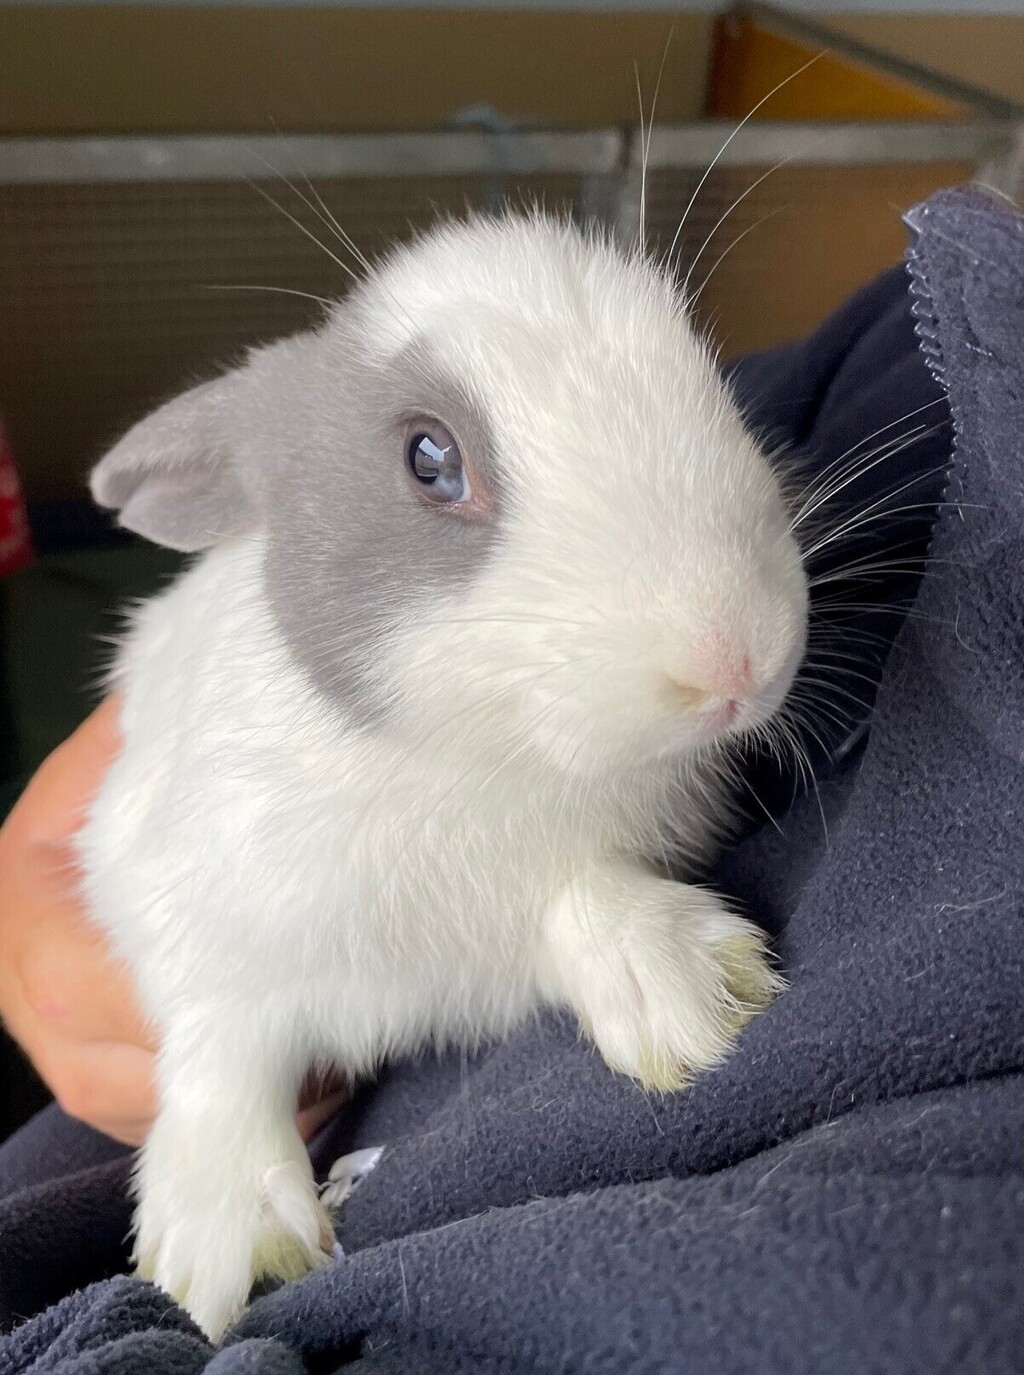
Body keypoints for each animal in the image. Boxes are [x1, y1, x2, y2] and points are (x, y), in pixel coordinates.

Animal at [77, 210, 808, 1341]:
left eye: (709, 371)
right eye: (429, 458)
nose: (741, 661)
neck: (470, 753)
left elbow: (580, 896)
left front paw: (691, 996)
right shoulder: (171, 893)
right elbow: (216, 1048)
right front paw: (222, 1236)